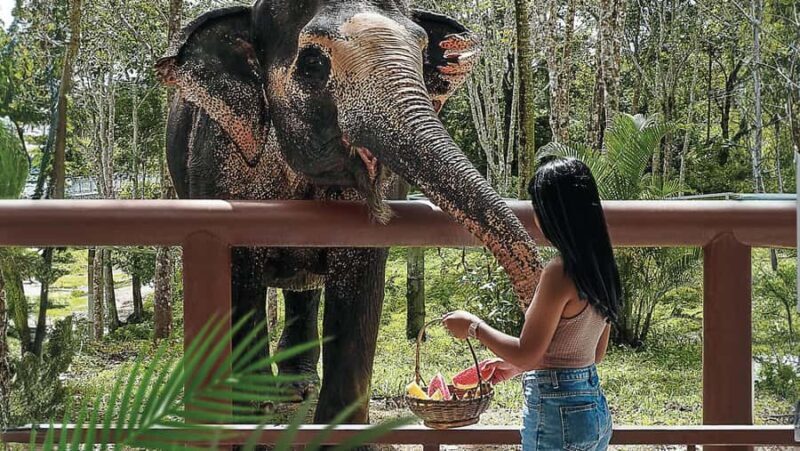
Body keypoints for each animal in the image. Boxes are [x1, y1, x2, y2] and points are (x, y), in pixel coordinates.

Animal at [156, 0, 542, 425]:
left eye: (422, 50)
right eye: (312, 63)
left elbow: (360, 282)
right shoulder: (219, 162)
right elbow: (237, 284)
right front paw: (246, 414)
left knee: (303, 288)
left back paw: (296, 388)